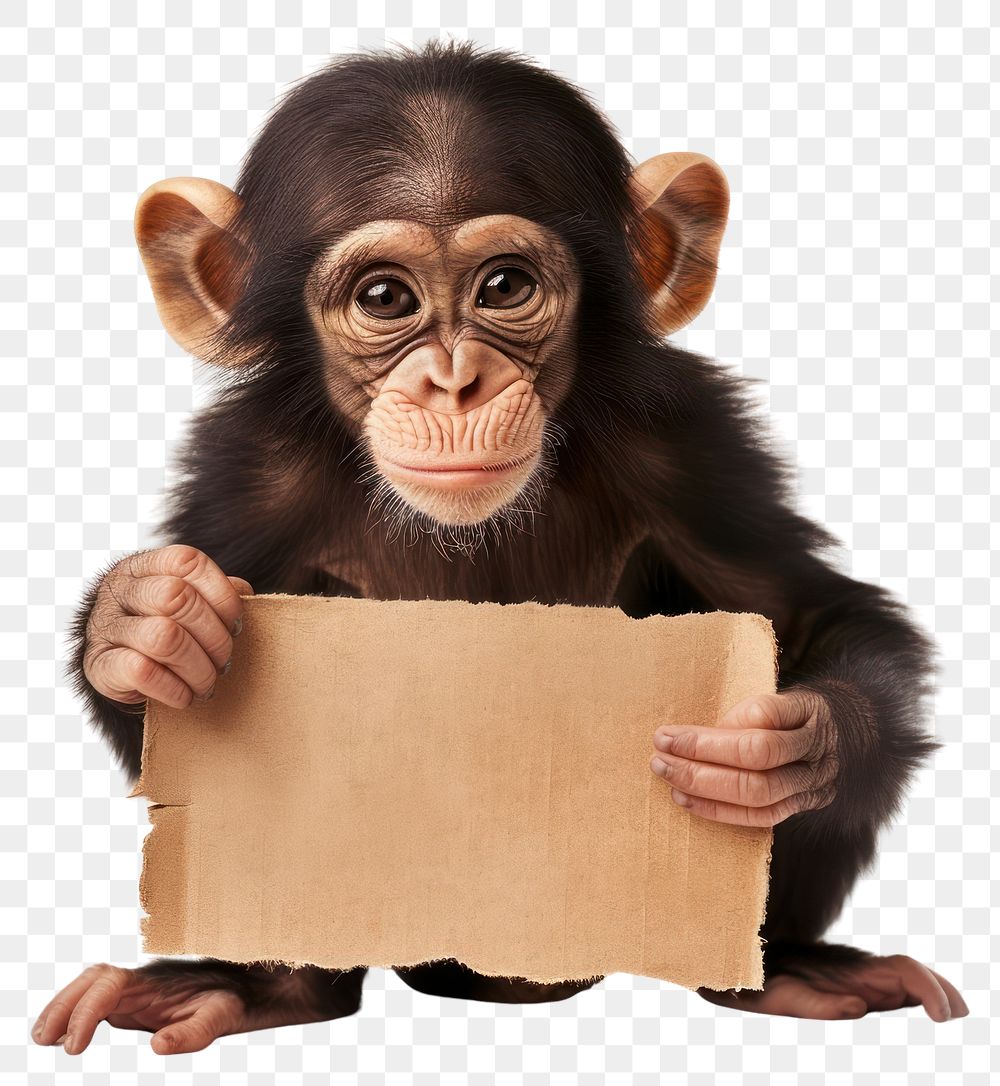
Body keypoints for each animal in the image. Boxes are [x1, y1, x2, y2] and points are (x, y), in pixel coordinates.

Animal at [32, 40, 967, 1056]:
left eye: (506, 288)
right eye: (385, 297)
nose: (455, 383)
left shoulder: (691, 440)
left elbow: (815, 608)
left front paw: (787, 746)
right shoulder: (250, 474)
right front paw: (142, 625)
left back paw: (791, 974)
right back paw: (246, 991)